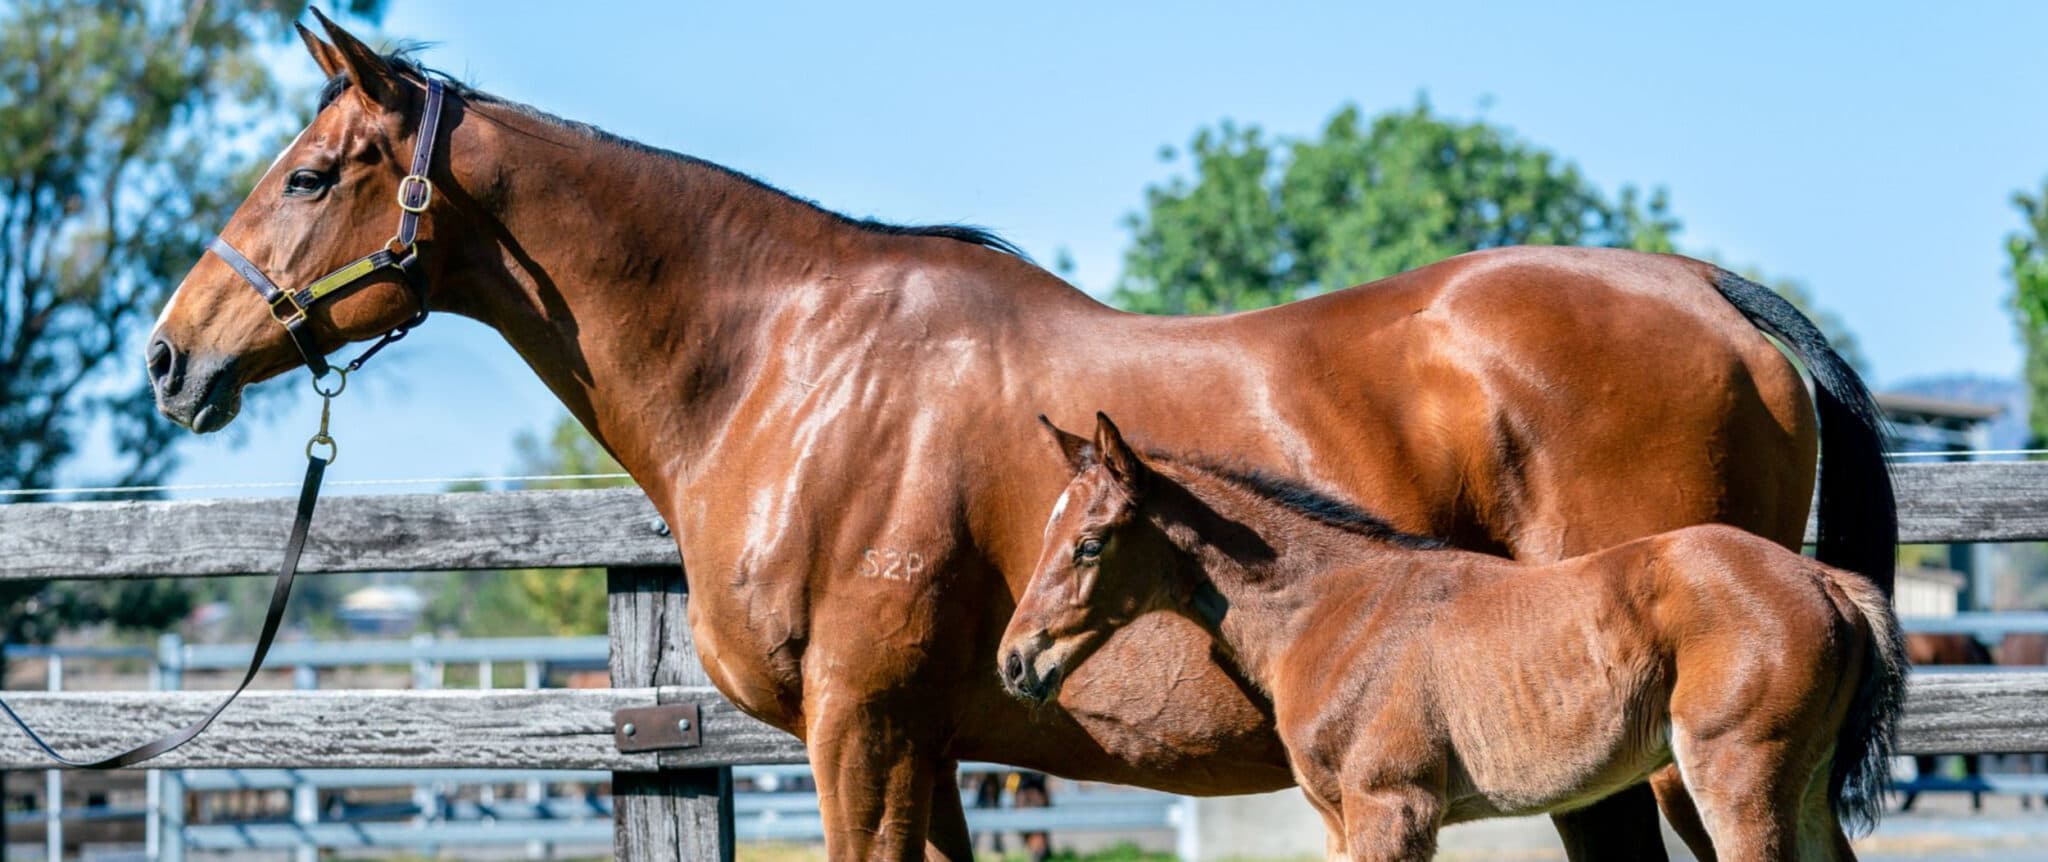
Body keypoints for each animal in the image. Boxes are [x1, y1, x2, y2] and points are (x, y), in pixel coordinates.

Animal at [1001, 413, 1907, 861]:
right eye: (1046, 532)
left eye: (1090, 544)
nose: (1016, 659)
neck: (1332, 608)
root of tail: (1827, 580)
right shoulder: (1341, 821)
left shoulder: (1392, 805)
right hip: (1804, 786)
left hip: (1735, 777)